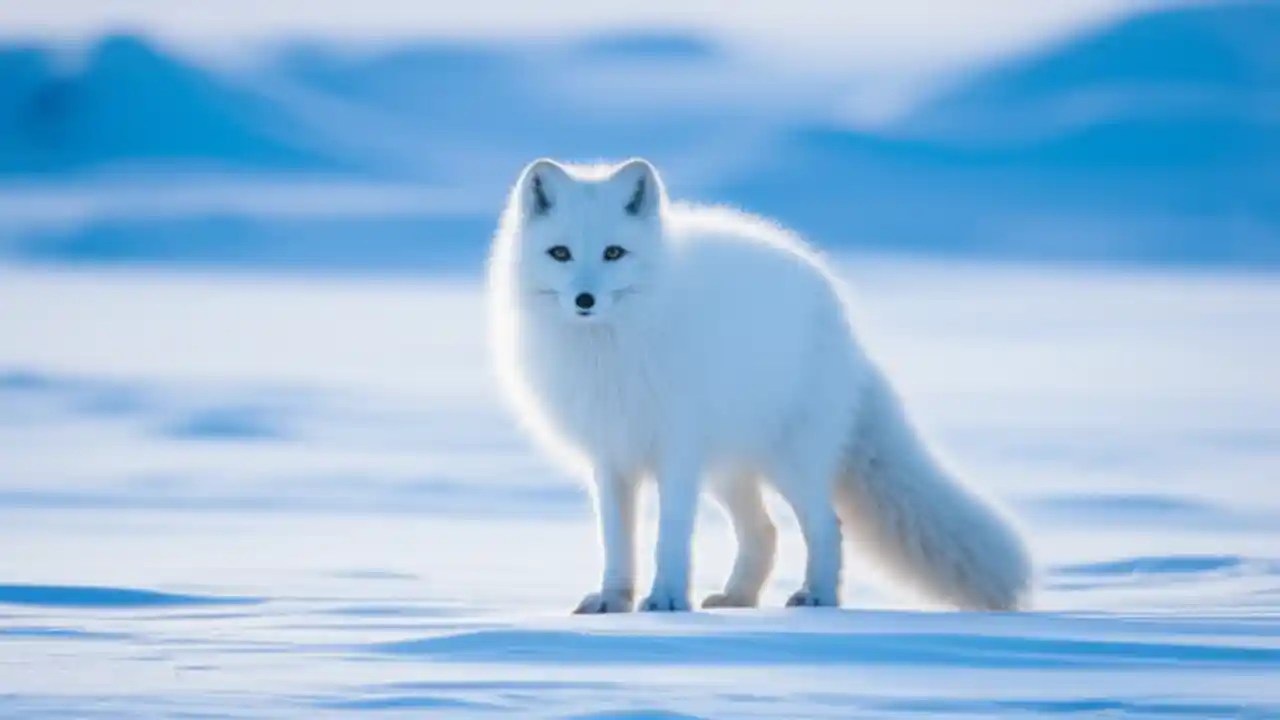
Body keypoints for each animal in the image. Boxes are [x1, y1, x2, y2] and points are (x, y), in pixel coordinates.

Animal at [488, 157, 1033, 613]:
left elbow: (670, 536)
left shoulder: (677, 450)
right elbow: (616, 541)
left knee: (826, 525)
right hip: (728, 469)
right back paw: (738, 597)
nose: (584, 299)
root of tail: (842, 322)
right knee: (764, 531)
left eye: (613, 253)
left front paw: (666, 600)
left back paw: (817, 596)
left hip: (788, 460)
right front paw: (613, 601)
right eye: (560, 253)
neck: (609, 348)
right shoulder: (610, 455)